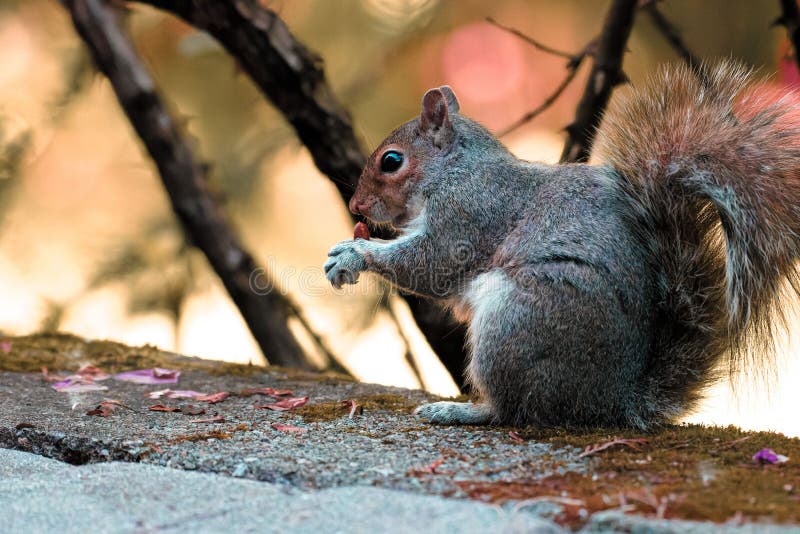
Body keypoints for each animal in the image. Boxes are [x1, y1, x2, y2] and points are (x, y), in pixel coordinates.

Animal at [324, 61, 800, 428]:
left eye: (391, 161)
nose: (354, 205)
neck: (455, 170)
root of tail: (612, 400)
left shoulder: (471, 213)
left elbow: (433, 263)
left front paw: (354, 255)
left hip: (517, 321)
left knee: (512, 409)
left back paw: (461, 412)